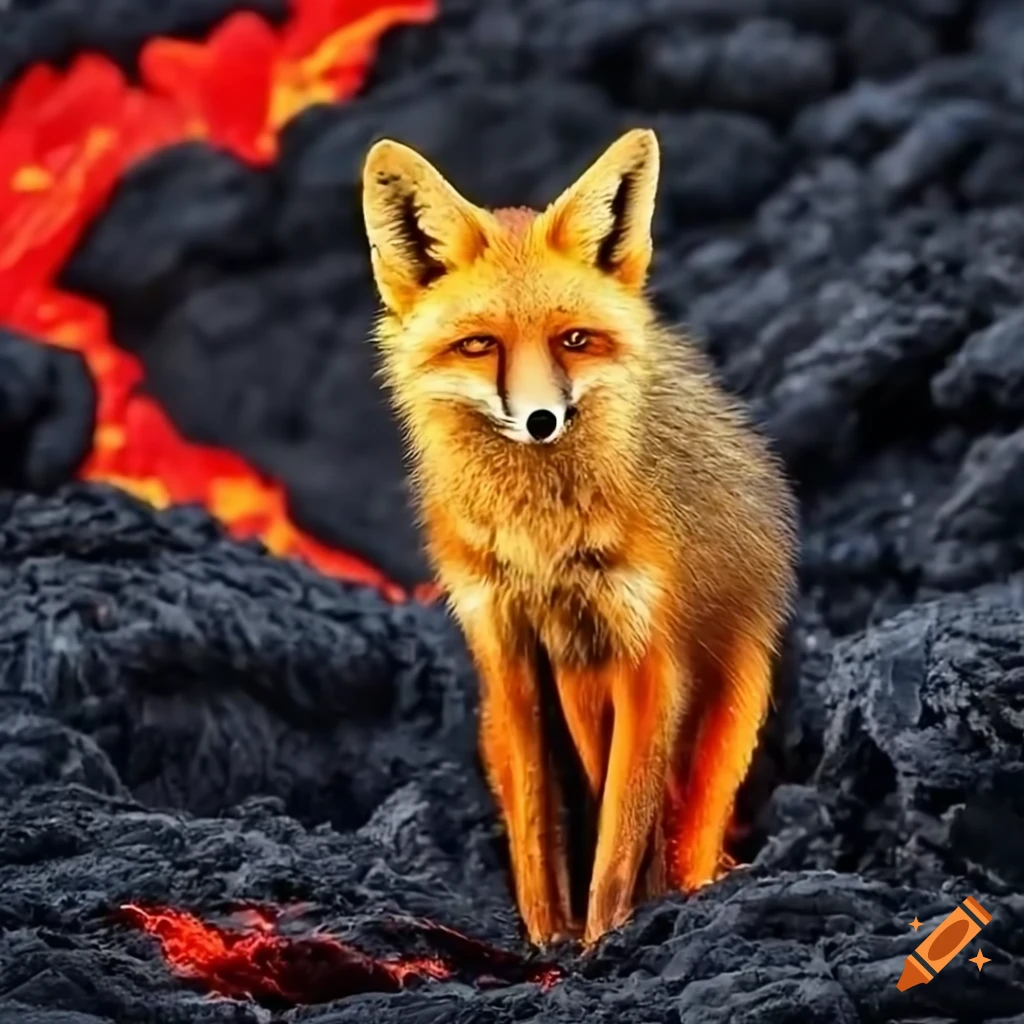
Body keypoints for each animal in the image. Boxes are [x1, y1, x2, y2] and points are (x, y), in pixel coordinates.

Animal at [360, 128, 798, 947]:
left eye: (574, 339)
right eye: (479, 346)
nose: (541, 421)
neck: (543, 537)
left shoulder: (649, 652)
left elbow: (621, 839)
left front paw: (604, 944)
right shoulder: (506, 648)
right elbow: (540, 828)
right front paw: (547, 942)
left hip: (710, 703)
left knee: (679, 824)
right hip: (559, 685)